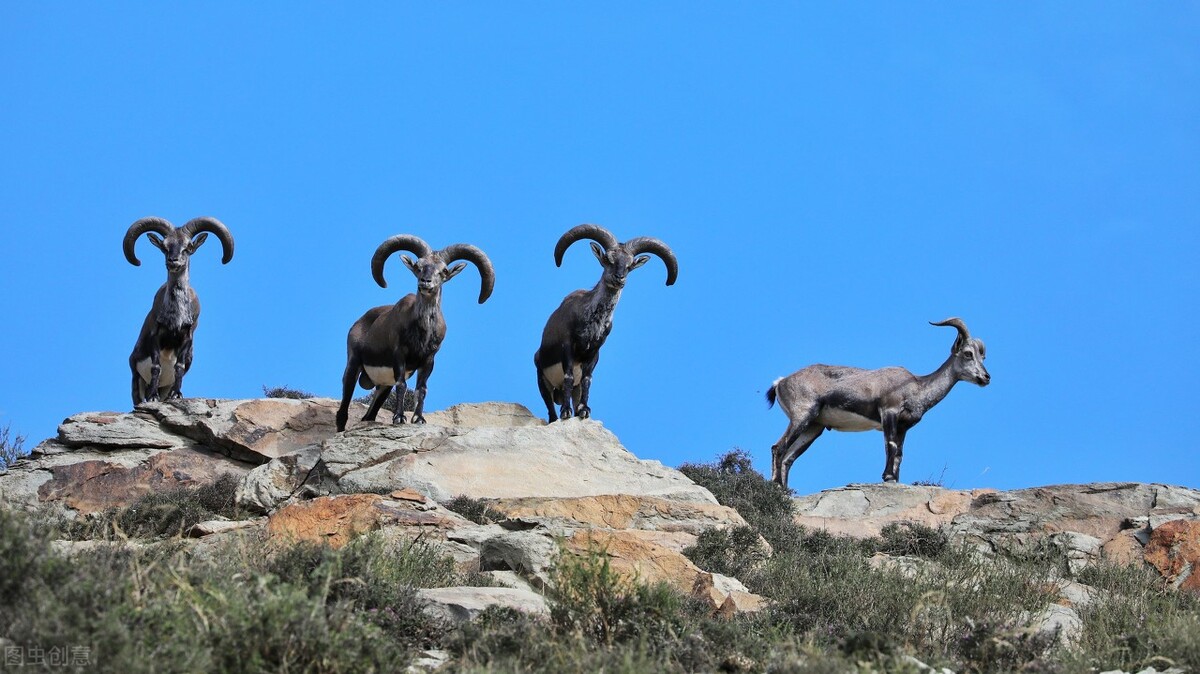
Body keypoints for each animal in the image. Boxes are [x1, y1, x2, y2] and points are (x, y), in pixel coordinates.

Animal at [124, 216, 235, 406]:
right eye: (164, 246)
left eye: (188, 246)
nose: (173, 261)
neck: (176, 316)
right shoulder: (156, 335)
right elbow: (156, 366)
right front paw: (153, 397)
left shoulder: (186, 337)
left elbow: (179, 367)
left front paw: (177, 394)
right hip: (136, 380)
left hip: (164, 386)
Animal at [335, 234, 495, 432]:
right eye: (419, 266)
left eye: (443, 270)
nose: (425, 281)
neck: (423, 332)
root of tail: (358, 322)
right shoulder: (399, 355)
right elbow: (402, 385)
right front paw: (399, 418)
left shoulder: (428, 360)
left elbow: (422, 389)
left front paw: (418, 418)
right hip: (353, 363)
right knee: (342, 411)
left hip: (383, 385)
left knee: (369, 416)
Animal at [534, 224, 678, 423]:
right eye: (608, 259)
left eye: (630, 265)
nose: (619, 278)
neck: (591, 319)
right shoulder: (567, 345)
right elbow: (568, 376)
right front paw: (566, 412)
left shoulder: (594, 352)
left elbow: (587, 380)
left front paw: (584, 410)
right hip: (542, 379)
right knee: (550, 408)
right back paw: (559, 414)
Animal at [766, 318, 990, 487]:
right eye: (968, 354)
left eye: (983, 357)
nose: (986, 378)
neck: (917, 386)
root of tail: (780, 382)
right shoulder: (889, 413)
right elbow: (890, 445)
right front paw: (888, 477)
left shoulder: (903, 427)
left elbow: (899, 453)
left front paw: (895, 479)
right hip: (802, 416)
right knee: (778, 447)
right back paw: (776, 485)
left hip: (814, 427)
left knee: (789, 458)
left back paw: (786, 490)